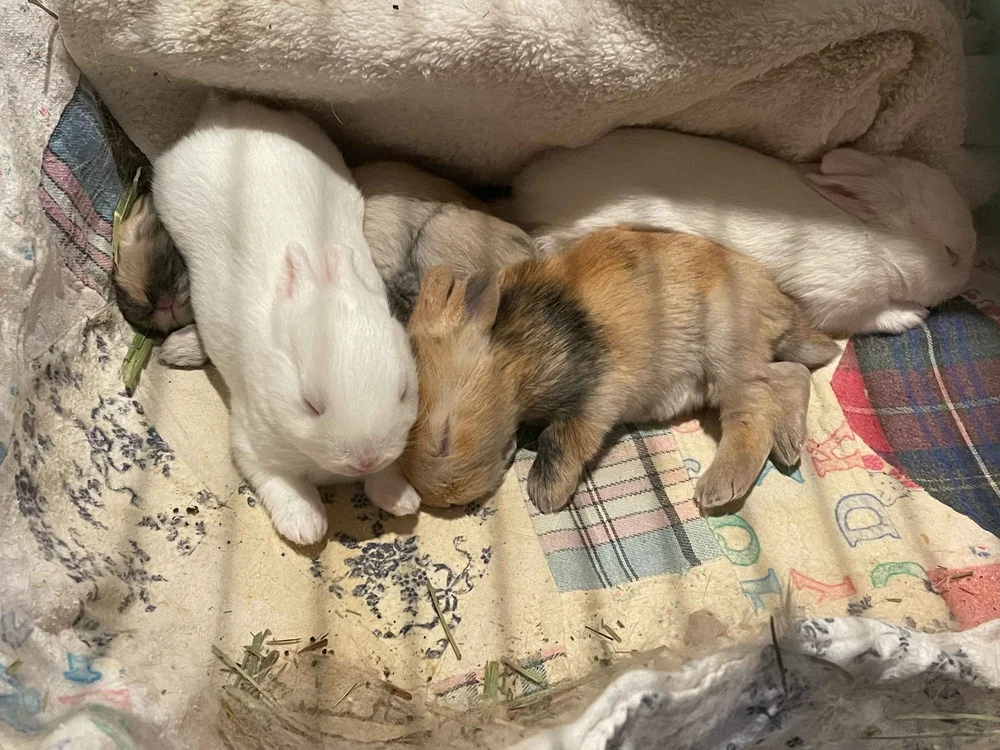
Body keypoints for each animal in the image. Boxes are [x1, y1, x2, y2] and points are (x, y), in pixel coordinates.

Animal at [152, 98, 421, 545]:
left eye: (403, 392)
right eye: (310, 405)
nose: (365, 458)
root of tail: (227, 112)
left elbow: (388, 475)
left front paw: (401, 499)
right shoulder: (253, 443)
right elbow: (281, 482)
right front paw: (306, 526)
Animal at [399, 226, 839, 513]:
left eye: (444, 437)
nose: (448, 500)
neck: (515, 350)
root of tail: (780, 306)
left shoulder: (599, 392)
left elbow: (560, 437)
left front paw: (546, 493)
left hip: (726, 350)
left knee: (754, 414)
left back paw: (718, 487)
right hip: (734, 368)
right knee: (792, 374)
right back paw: (789, 442)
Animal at [503, 129, 978, 337]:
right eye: (949, 251)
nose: (966, 278)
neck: (879, 245)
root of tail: (527, 186)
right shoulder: (839, 298)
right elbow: (868, 318)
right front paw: (913, 315)